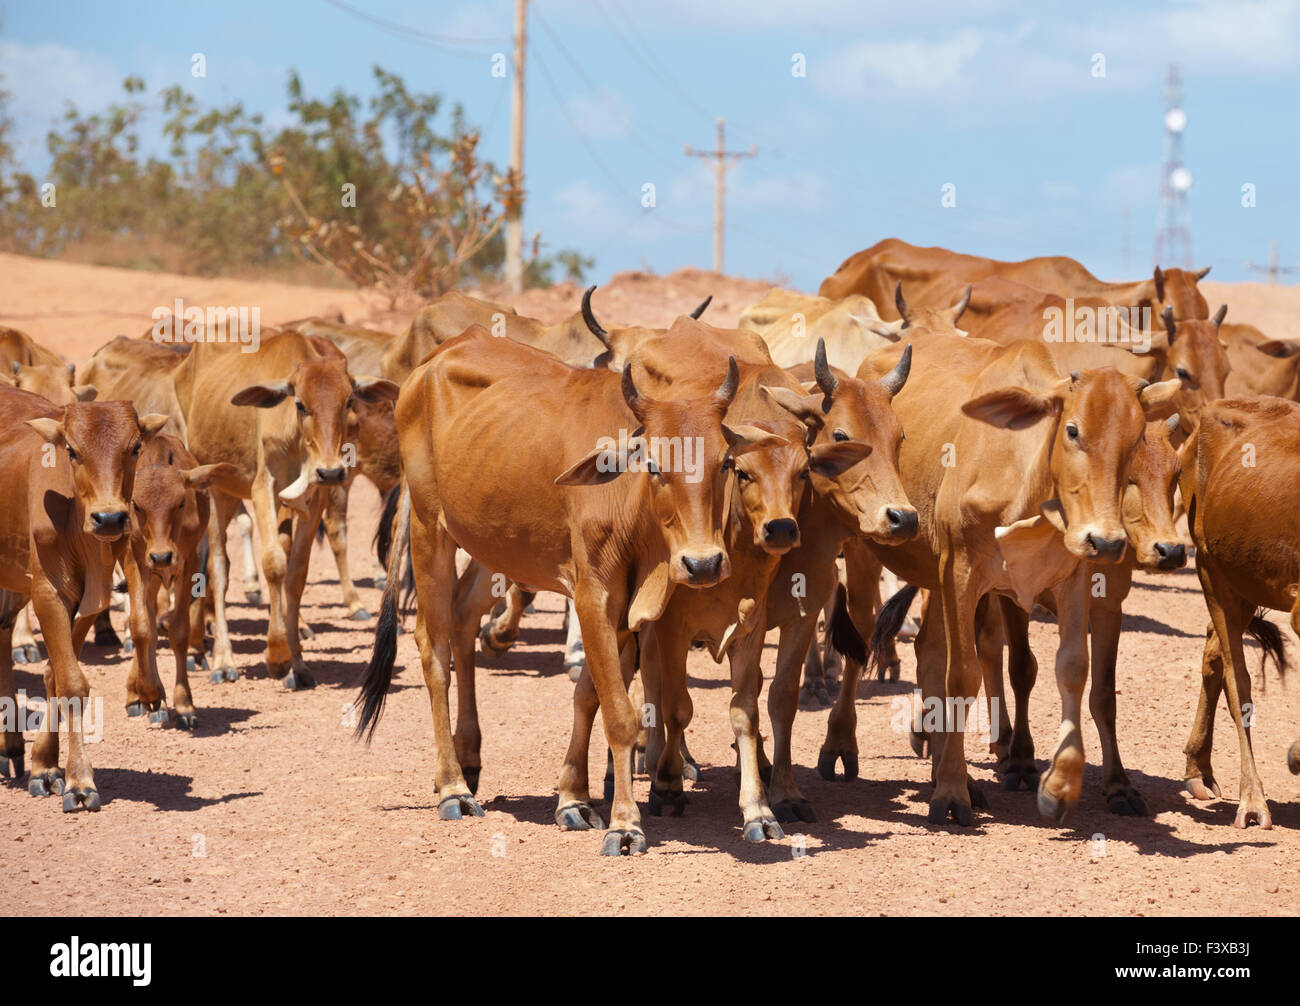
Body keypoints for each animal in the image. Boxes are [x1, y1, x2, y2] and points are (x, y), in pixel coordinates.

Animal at [0, 386, 168, 810]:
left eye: (136, 446)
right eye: (72, 450)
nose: (109, 519)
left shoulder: (92, 596)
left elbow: (56, 675)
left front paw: (45, 765)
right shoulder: (48, 592)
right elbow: (72, 681)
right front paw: (79, 781)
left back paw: (11, 744)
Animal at [173, 330, 398, 688]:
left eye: (349, 401)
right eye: (300, 404)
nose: (331, 471)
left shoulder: (315, 498)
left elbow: (296, 574)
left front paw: (298, 663)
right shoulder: (263, 487)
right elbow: (274, 564)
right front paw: (278, 656)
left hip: (235, 494)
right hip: (212, 489)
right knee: (217, 568)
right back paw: (221, 660)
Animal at [354, 326, 783, 855]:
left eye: (726, 463)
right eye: (654, 465)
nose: (703, 563)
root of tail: (436, 358)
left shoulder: (623, 611)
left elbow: (588, 695)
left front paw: (573, 799)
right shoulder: (593, 594)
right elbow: (618, 713)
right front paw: (625, 824)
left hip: (491, 544)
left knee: (463, 619)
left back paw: (467, 759)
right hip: (430, 529)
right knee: (432, 648)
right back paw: (453, 787)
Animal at [1179, 397, 1300, 829]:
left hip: (1245, 583)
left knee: (1213, 654)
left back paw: (1198, 769)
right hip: (1212, 573)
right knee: (1237, 682)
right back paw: (1252, 800)